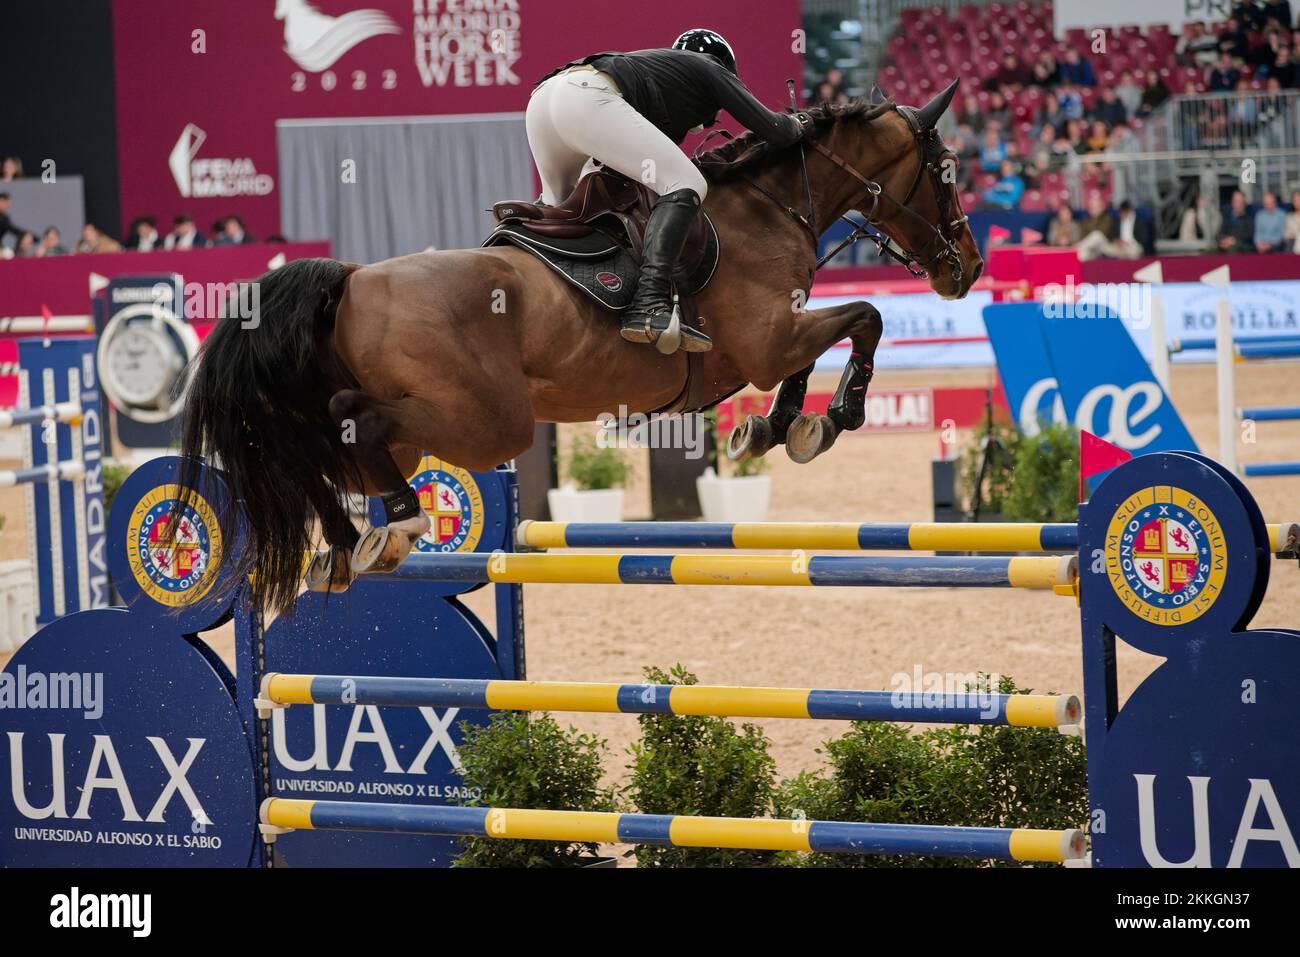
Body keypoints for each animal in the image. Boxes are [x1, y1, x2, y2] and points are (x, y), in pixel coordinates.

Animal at [177, 80, 983, 615]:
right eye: (946, 173)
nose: (968, 268)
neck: (772, 204)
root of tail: (350, 278)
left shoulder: (772, 344)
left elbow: (820, 353)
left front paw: (778, 427)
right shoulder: (768, 340)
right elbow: (865, 318)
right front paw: (831, 417)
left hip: (430, 428)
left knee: (321, 447)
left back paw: (349, 545)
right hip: (486, 422)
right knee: (354, 419)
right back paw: (399, 523)